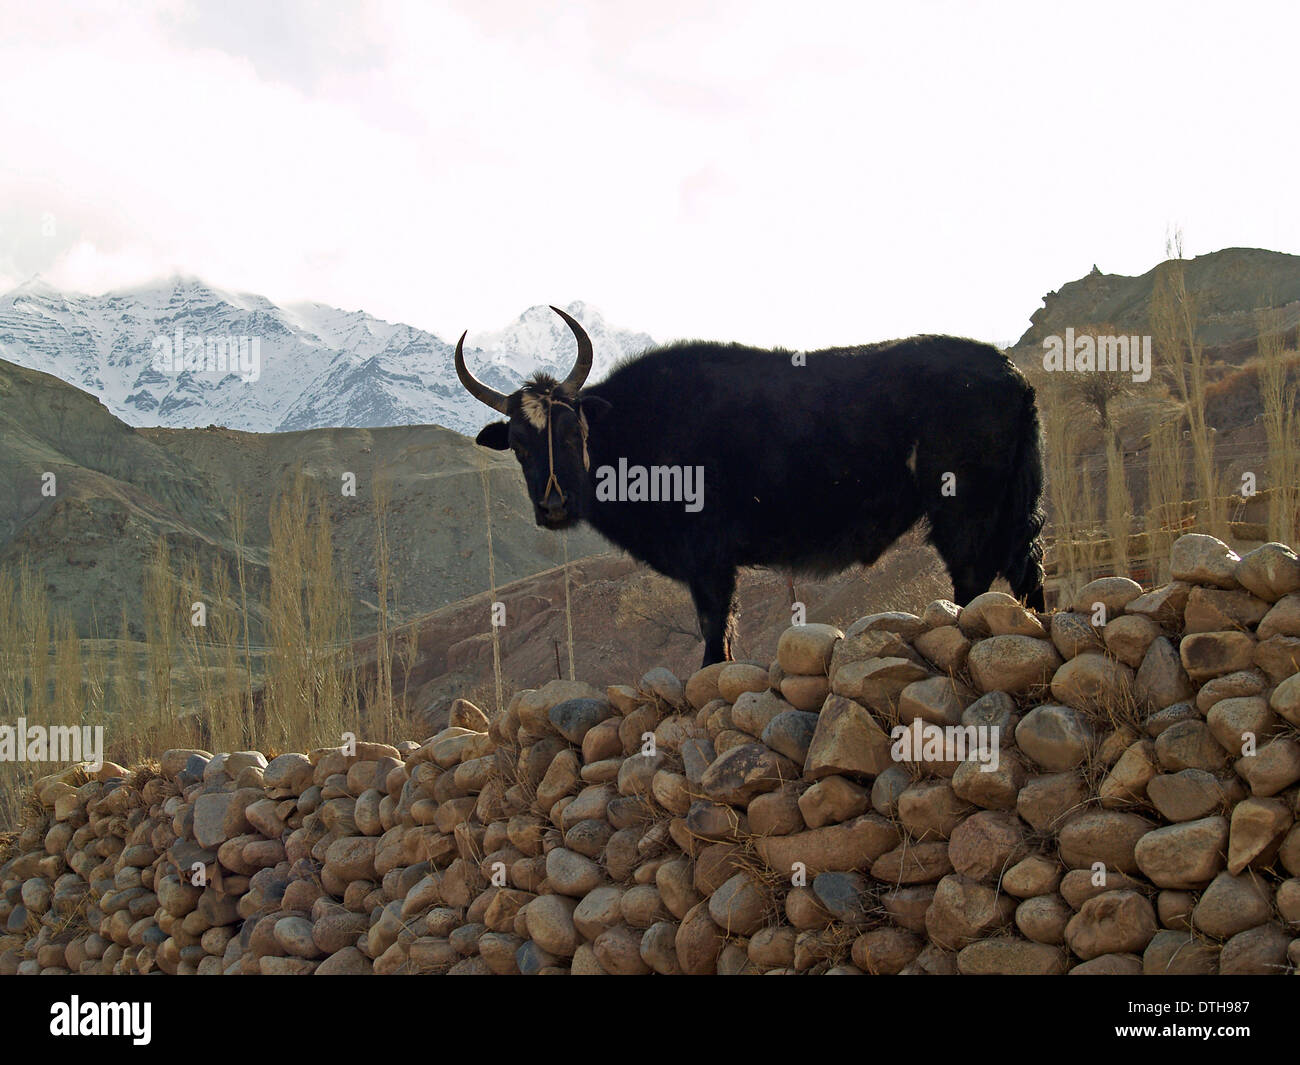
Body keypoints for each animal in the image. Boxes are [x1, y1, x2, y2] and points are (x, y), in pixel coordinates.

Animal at [457, 306, 1045, 666]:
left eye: (570, 430)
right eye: (520, 444)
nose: (554, 506)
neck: (636, 426)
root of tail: (1009, 370)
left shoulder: (708, 558)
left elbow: (714, 624)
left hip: (965, 510)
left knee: (973, 577)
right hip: (1009, 510)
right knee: (1024, 570)